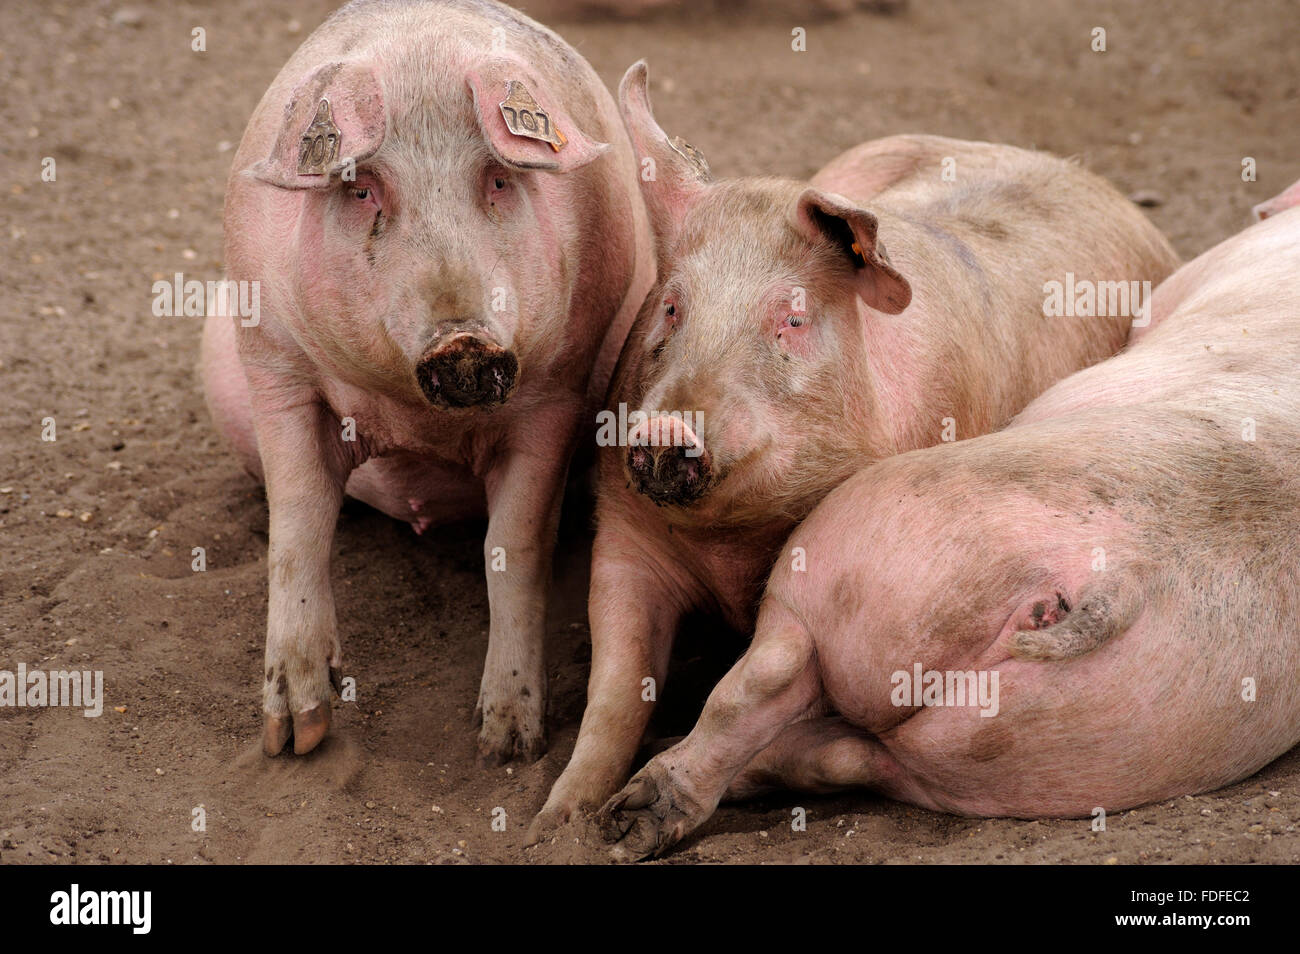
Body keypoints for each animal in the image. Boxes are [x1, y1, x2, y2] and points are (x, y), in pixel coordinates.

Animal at [199, 0, 653, 763]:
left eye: (498, 179)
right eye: (361, 188)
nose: (461, 341)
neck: (418, 423)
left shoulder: (555, 394)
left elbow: (514, 547)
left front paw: (508, 745)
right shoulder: (276, 367)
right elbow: (297, 526)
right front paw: (294, 739)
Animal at [527, 60, 1180, 840]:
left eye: (794, 318)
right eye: (672, 306)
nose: (665, 432)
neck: (732, 547)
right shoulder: (626, 533)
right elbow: (617, 685)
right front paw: (554, 825)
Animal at [597, 185, 1300, 859]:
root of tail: (1114, 584)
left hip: (843, 558)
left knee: (765, 686)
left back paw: (625, 817)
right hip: (1039, 741)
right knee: (841, 754)